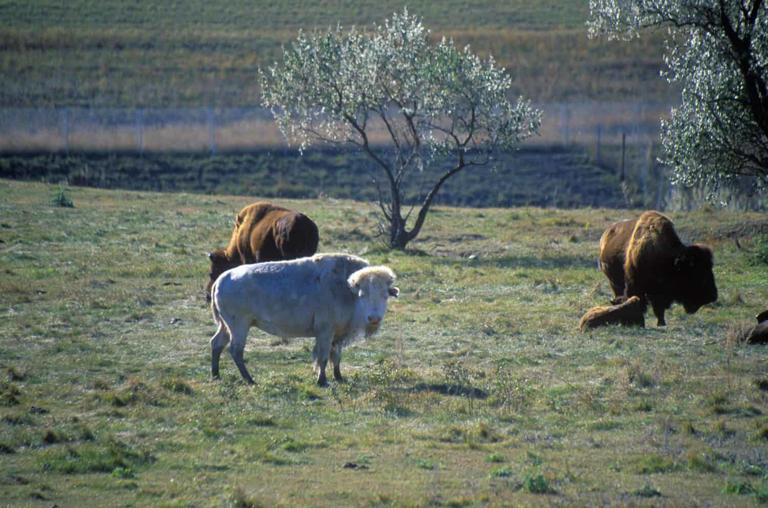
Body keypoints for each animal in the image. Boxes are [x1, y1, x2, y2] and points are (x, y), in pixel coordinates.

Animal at [209, 253, 399, 386]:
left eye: (385, 295)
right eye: (362, 294)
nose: (373, 318)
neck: (345, 288)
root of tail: (220, 280)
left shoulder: (337, 335)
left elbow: (336, 356)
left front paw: (339, 377)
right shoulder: (325, 332)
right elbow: (323, 357)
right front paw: (322, 381)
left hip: (226, 326)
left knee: (217, 343)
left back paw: (216, 375)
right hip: (239, 326)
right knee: (235, 350)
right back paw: (250, 380)